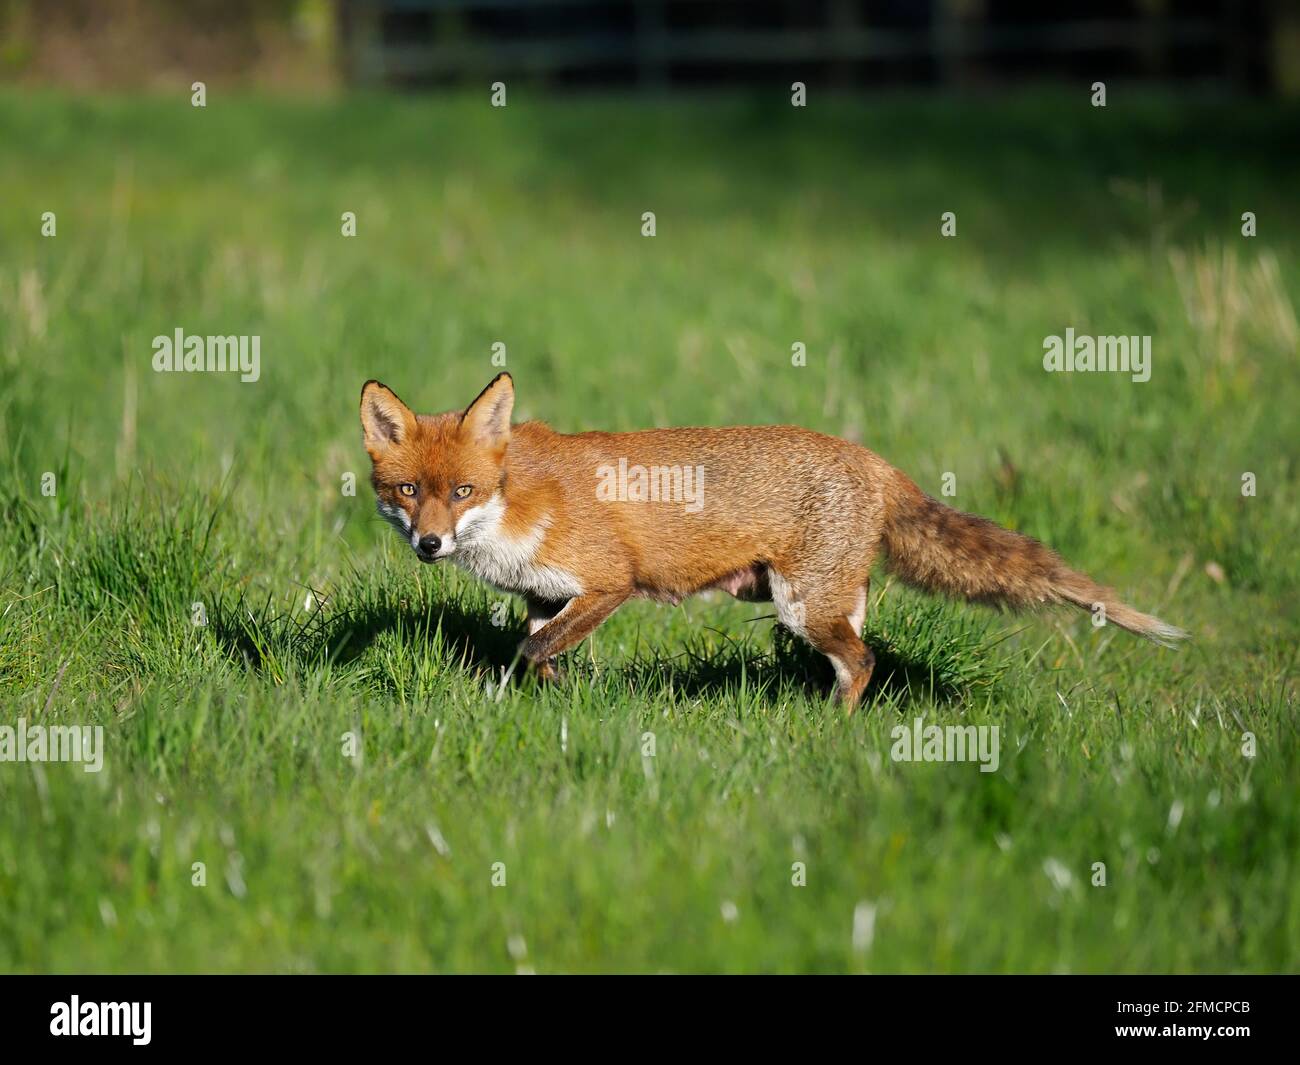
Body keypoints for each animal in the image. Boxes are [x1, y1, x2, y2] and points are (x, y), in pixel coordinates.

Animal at [360, 373, 1186, 711]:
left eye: (463, 491)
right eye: (408, 492)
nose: (430, 545)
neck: (516, 503)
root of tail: (873, 458)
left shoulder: (610, 581)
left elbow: (531, 649)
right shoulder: (546, 592)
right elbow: (538, 653)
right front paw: (562, 700)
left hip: (802, 607)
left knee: (864, 663)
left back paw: (826, 734)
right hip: (828, 602)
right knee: (862, 658)